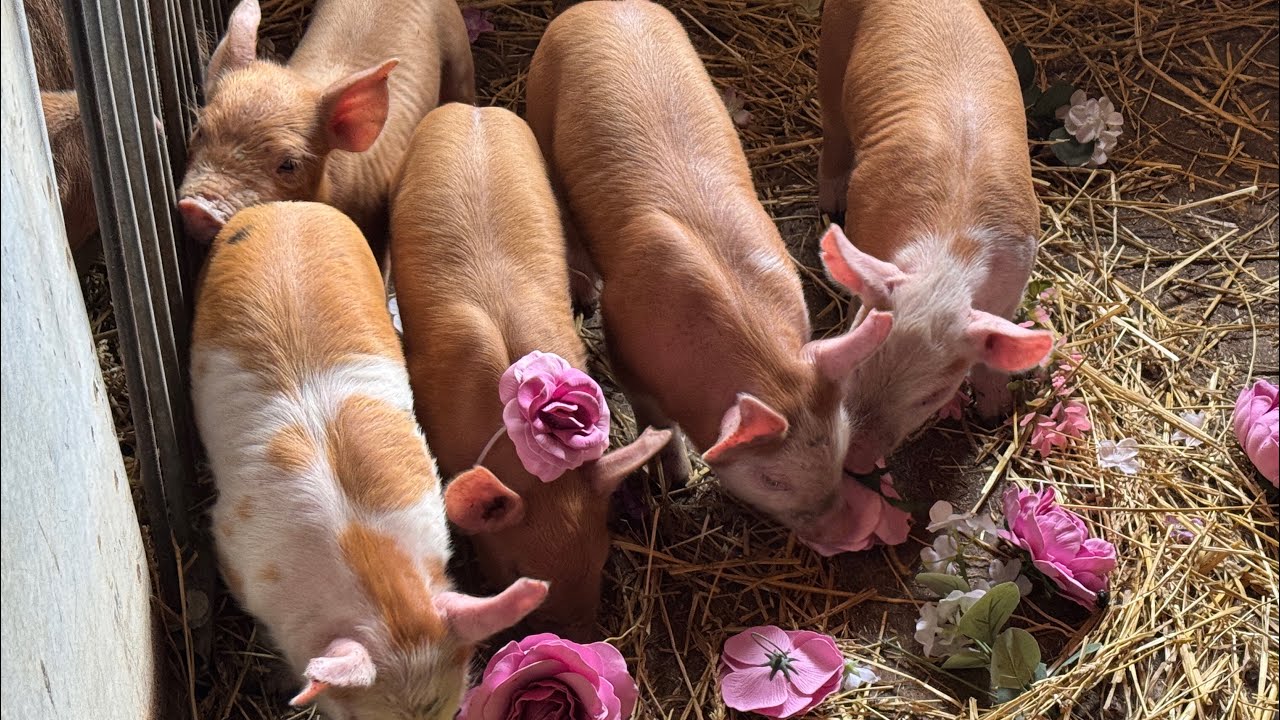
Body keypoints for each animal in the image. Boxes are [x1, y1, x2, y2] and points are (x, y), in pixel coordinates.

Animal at [525, 0, 893, 551]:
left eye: (841, 443)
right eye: (771, 478)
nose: (855, 531)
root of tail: (597, 7)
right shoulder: (626, 349)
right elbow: (656, 424)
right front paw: (677, 482)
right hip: (540, 111)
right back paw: (582, 294)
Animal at [816, 0, 1055, 473]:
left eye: (932, 396)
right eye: (858, 362)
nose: (854, 463)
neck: (948, 257)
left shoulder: (1014, 281)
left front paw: (993, 412)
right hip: (831, 51)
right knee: (832, 126)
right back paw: (829, 199)